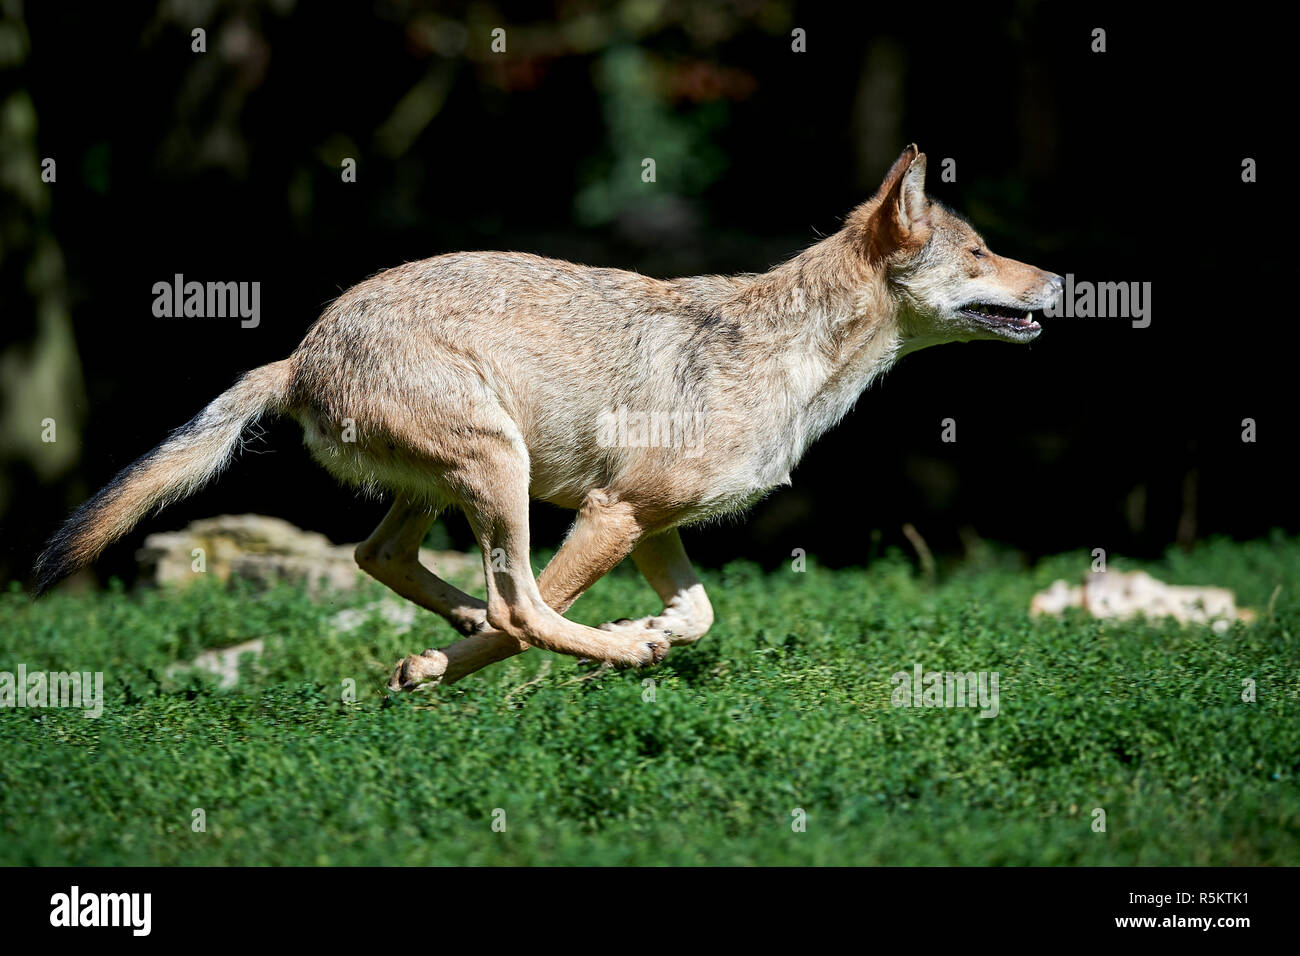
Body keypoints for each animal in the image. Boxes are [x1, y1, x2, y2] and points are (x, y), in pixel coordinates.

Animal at [34, 145, 1061, 690]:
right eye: (980, 251)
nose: (1057, 279)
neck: (789, 355)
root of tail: (299, 353)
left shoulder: (655, 528)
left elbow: (699, 614)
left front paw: (643, 628)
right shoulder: (614, 513)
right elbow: (547, 614)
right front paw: (596, 649)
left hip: (457, 488)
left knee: (388, 560)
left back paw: (461, 628)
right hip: (503, 471)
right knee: (514, 600)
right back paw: (583, 645)